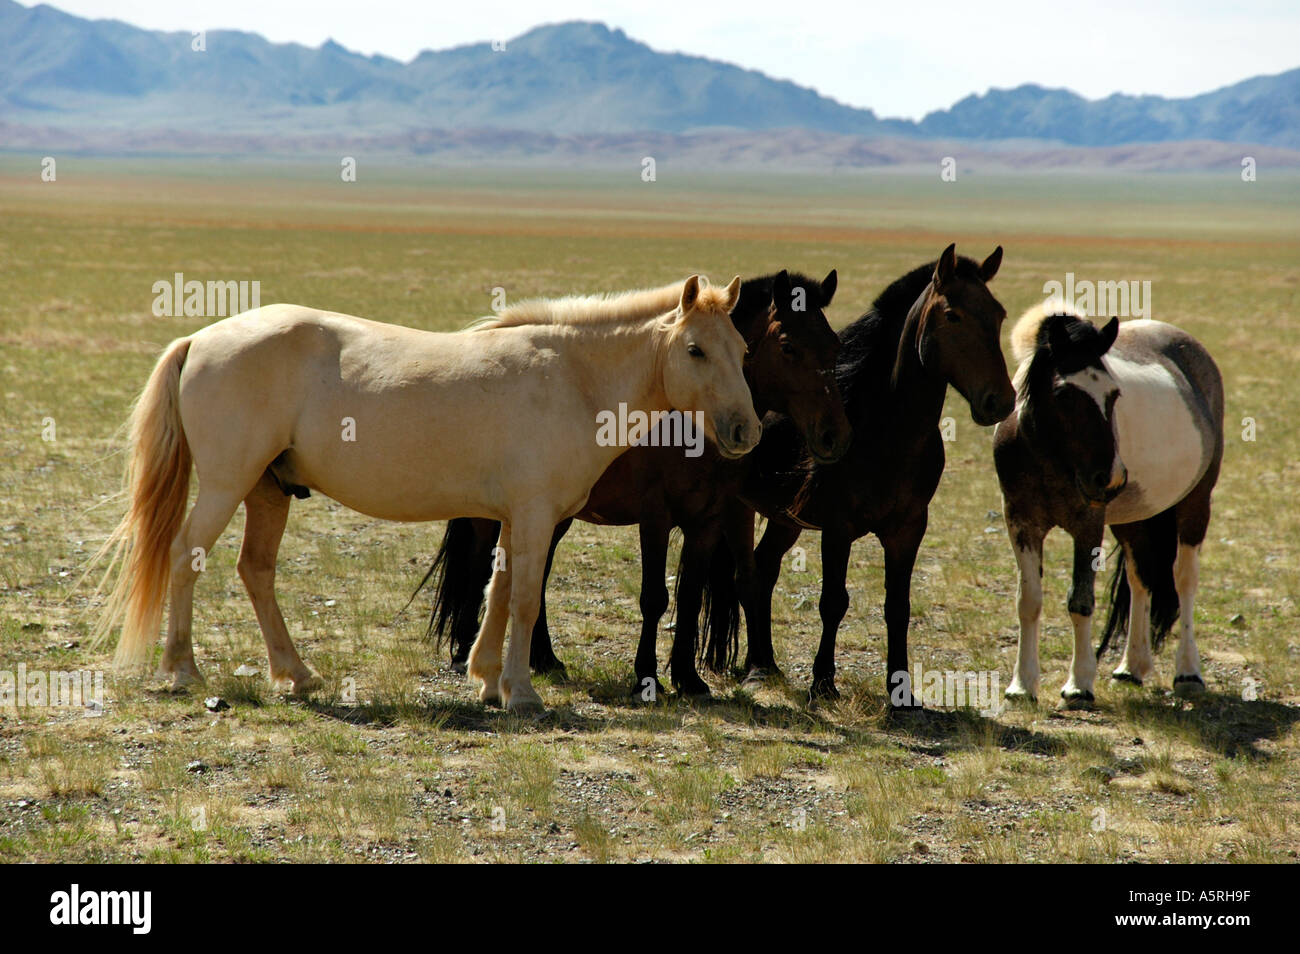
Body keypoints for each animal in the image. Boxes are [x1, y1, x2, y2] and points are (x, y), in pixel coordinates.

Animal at [89, 276, 761, 714]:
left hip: (268, 491)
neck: (573, 377)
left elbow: (498, 592)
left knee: (255, 570)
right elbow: (523, 600)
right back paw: (182, 670)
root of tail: (201, 340)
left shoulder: (516, 516)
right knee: (185, 557)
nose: (744, 431)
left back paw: (295, 674)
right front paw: (522, 693)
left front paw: (487, 679)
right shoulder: (536, 515)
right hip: (229, 484)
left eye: (744, 350)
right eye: (696, 349)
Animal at [420, 270, 852, 698]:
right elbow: (654, 597)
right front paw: (647, 676)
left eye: (834, 345)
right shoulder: (655, 516)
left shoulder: (707, 521)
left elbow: (689, 595)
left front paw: (688, 678)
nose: (834, 435)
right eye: (788, 347)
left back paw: (544, 659)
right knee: (480, 565)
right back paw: (465, 651)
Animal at [700, 244, 1016, 708]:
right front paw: (823, 682)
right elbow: (833, 601)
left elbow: (898, 606)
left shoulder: (909, 528)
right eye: (952, 315)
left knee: (766, 569)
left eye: (999, 314)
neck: (888, 431)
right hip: (739, 508)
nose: (1001, 400)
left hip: (783, 518)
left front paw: (901, 691)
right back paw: (758, 667)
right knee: (747, 575)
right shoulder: (838, 528)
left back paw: (768, 662)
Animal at [993, 302, 1224, 703]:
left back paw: (1188, 673)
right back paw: (1131, 668)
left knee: (1184, 580)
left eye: (1115, 394)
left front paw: (1079, 685)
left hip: (1195, 505)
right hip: (1133, 519)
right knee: (1141, 577)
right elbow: (1028, 601)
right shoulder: (1020, 522)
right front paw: (1022, 685)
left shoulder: (1087, 525)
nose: (1111, 478)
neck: (1048, 456)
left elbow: (1080, 601)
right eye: (1064, 394)